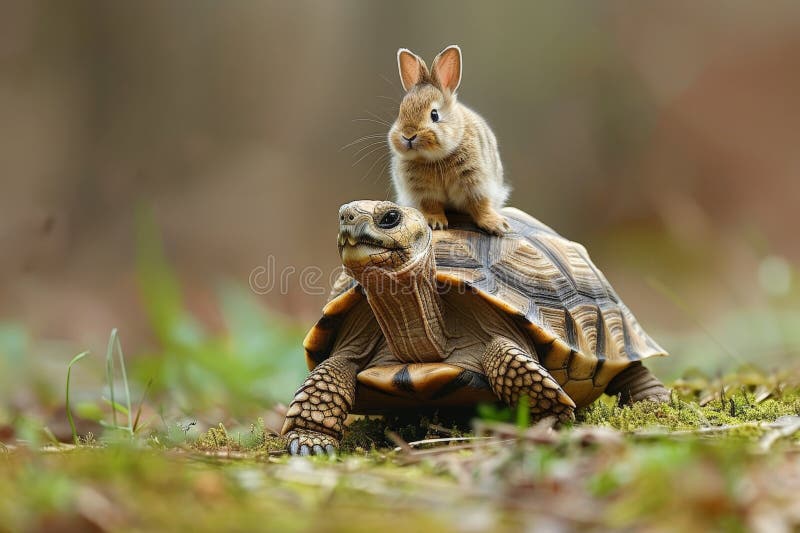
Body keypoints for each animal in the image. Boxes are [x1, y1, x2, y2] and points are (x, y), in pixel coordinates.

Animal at [388, 45, 510, 235]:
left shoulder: (475, 183)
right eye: (401, 112)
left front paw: (497, 225)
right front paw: (435, 223)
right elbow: (431, 205)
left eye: (434, 115)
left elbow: (480, 205)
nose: (408, 135)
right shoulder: (423, 191)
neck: (436, 159)